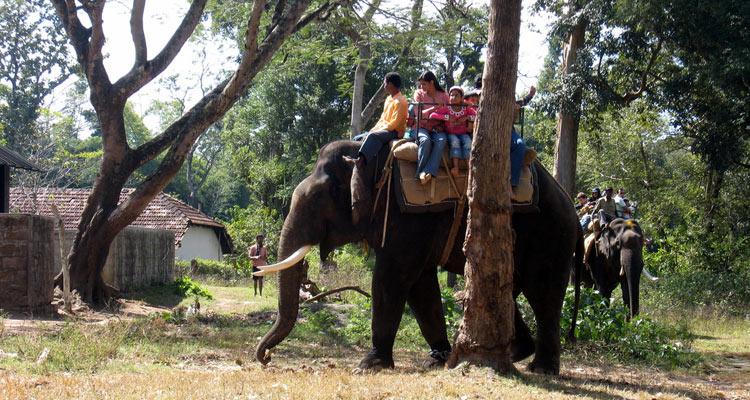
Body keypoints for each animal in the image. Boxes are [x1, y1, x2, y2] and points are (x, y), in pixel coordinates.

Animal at [254, 140, 583, 375]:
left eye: (318, 198)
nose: (266, 357)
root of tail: (572, 206)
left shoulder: (410, 220)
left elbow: (391, 279)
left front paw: (368, 366)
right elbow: (421, 287)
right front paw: (436, 360)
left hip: (551, 236)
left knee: (543, 296)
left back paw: (541, 368)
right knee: (507, 291)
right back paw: (513, 354)